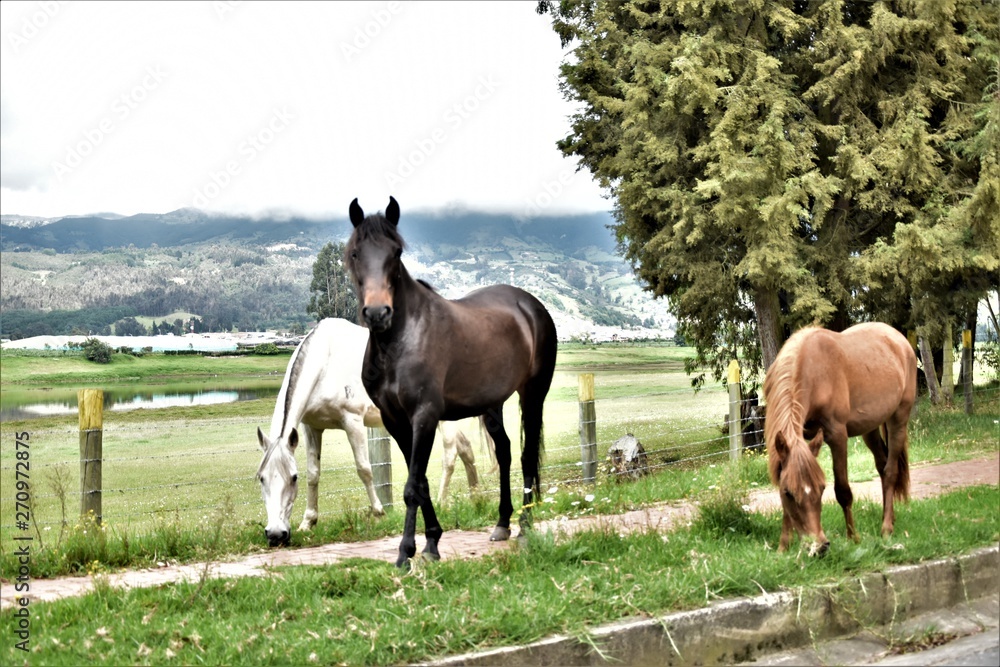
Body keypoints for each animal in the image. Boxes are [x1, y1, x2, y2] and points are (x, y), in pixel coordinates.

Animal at [256, 317, 490, 547]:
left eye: (293, 478)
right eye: (261, 478)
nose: (275, 534)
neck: (327, 363)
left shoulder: (353, 422)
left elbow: (364, 469)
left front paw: (379, 514)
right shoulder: (312, 428)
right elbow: (314, 474)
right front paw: (308, 522)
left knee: (449, 457)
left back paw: (442, 503)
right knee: (466, 450)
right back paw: (477, 498)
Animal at [346, 197, 558, 568]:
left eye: (396, 252)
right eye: (356, 252)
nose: (378, 313)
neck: (400, 342)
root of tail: (531, 306)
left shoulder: (425, 417)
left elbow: (412, 487)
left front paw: (406, 552)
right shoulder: (395, 421)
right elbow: (421, 484)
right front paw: (431, 542)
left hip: (533, 395)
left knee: (527, 455)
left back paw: (525, 525)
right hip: (491, 405)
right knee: (504, 452)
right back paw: (502, 523)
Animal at [763, 322, 917, 556]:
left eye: (821, 488)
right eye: (788, 493)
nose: (819, 546)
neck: (813, 372)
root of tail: (900, 340)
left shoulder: (837, 436)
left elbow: (843, 491)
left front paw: (853, 538)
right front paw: (783, 547)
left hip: (898, 419)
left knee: (890, 472)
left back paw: (886, 528)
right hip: (870, 429)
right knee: (882, 467)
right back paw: (889, 518)